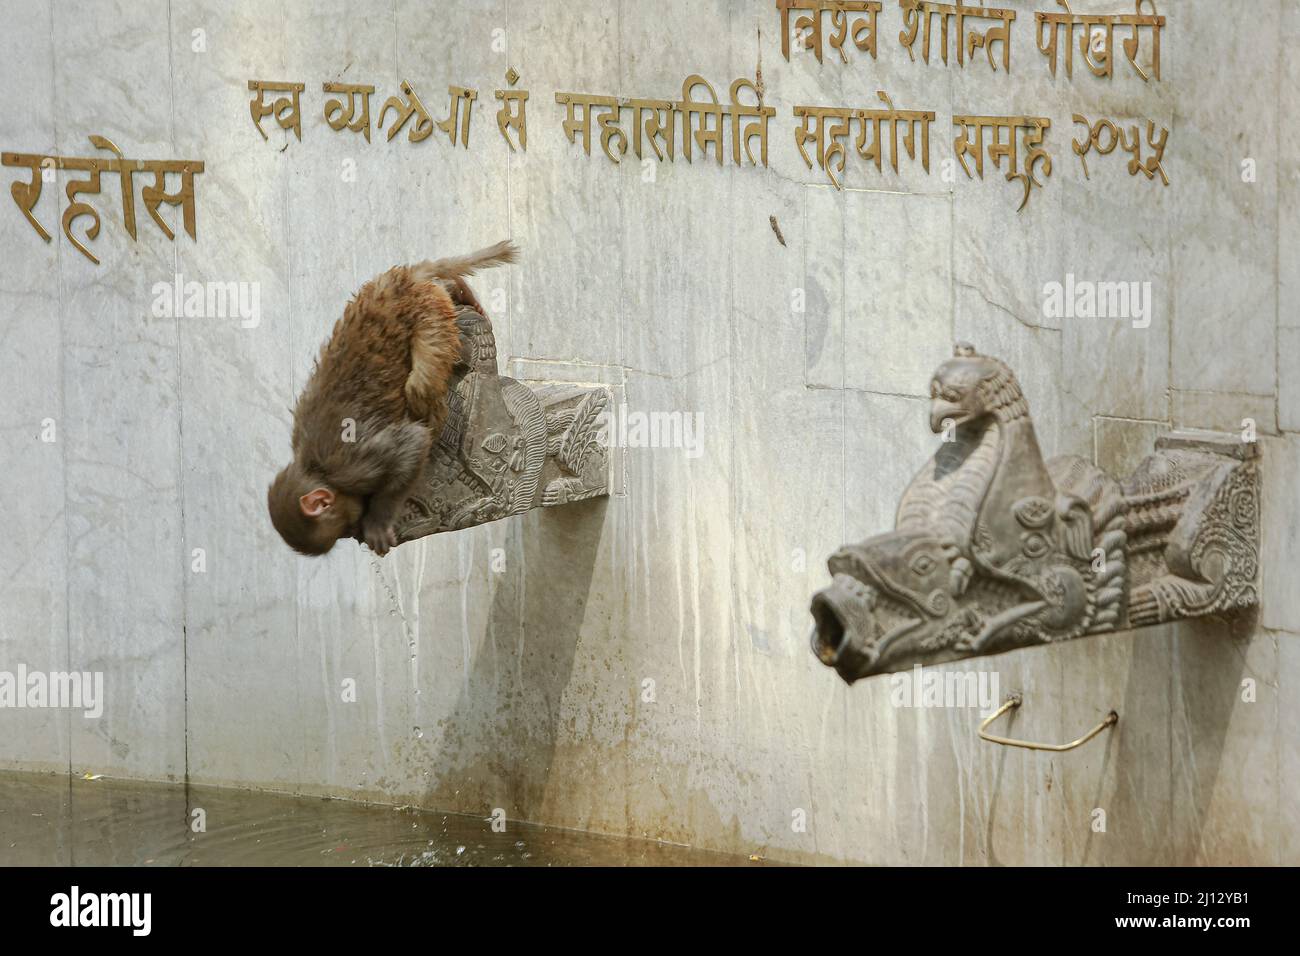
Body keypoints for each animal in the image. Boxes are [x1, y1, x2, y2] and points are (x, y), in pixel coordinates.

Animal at [267, 239, 519, 557]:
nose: (352, 528)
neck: (317, 469)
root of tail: (400, 280)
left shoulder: (358, 463)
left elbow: (412, 443)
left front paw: (377, 519)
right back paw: (454, 286)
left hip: (427, 312)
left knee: (420, 386)